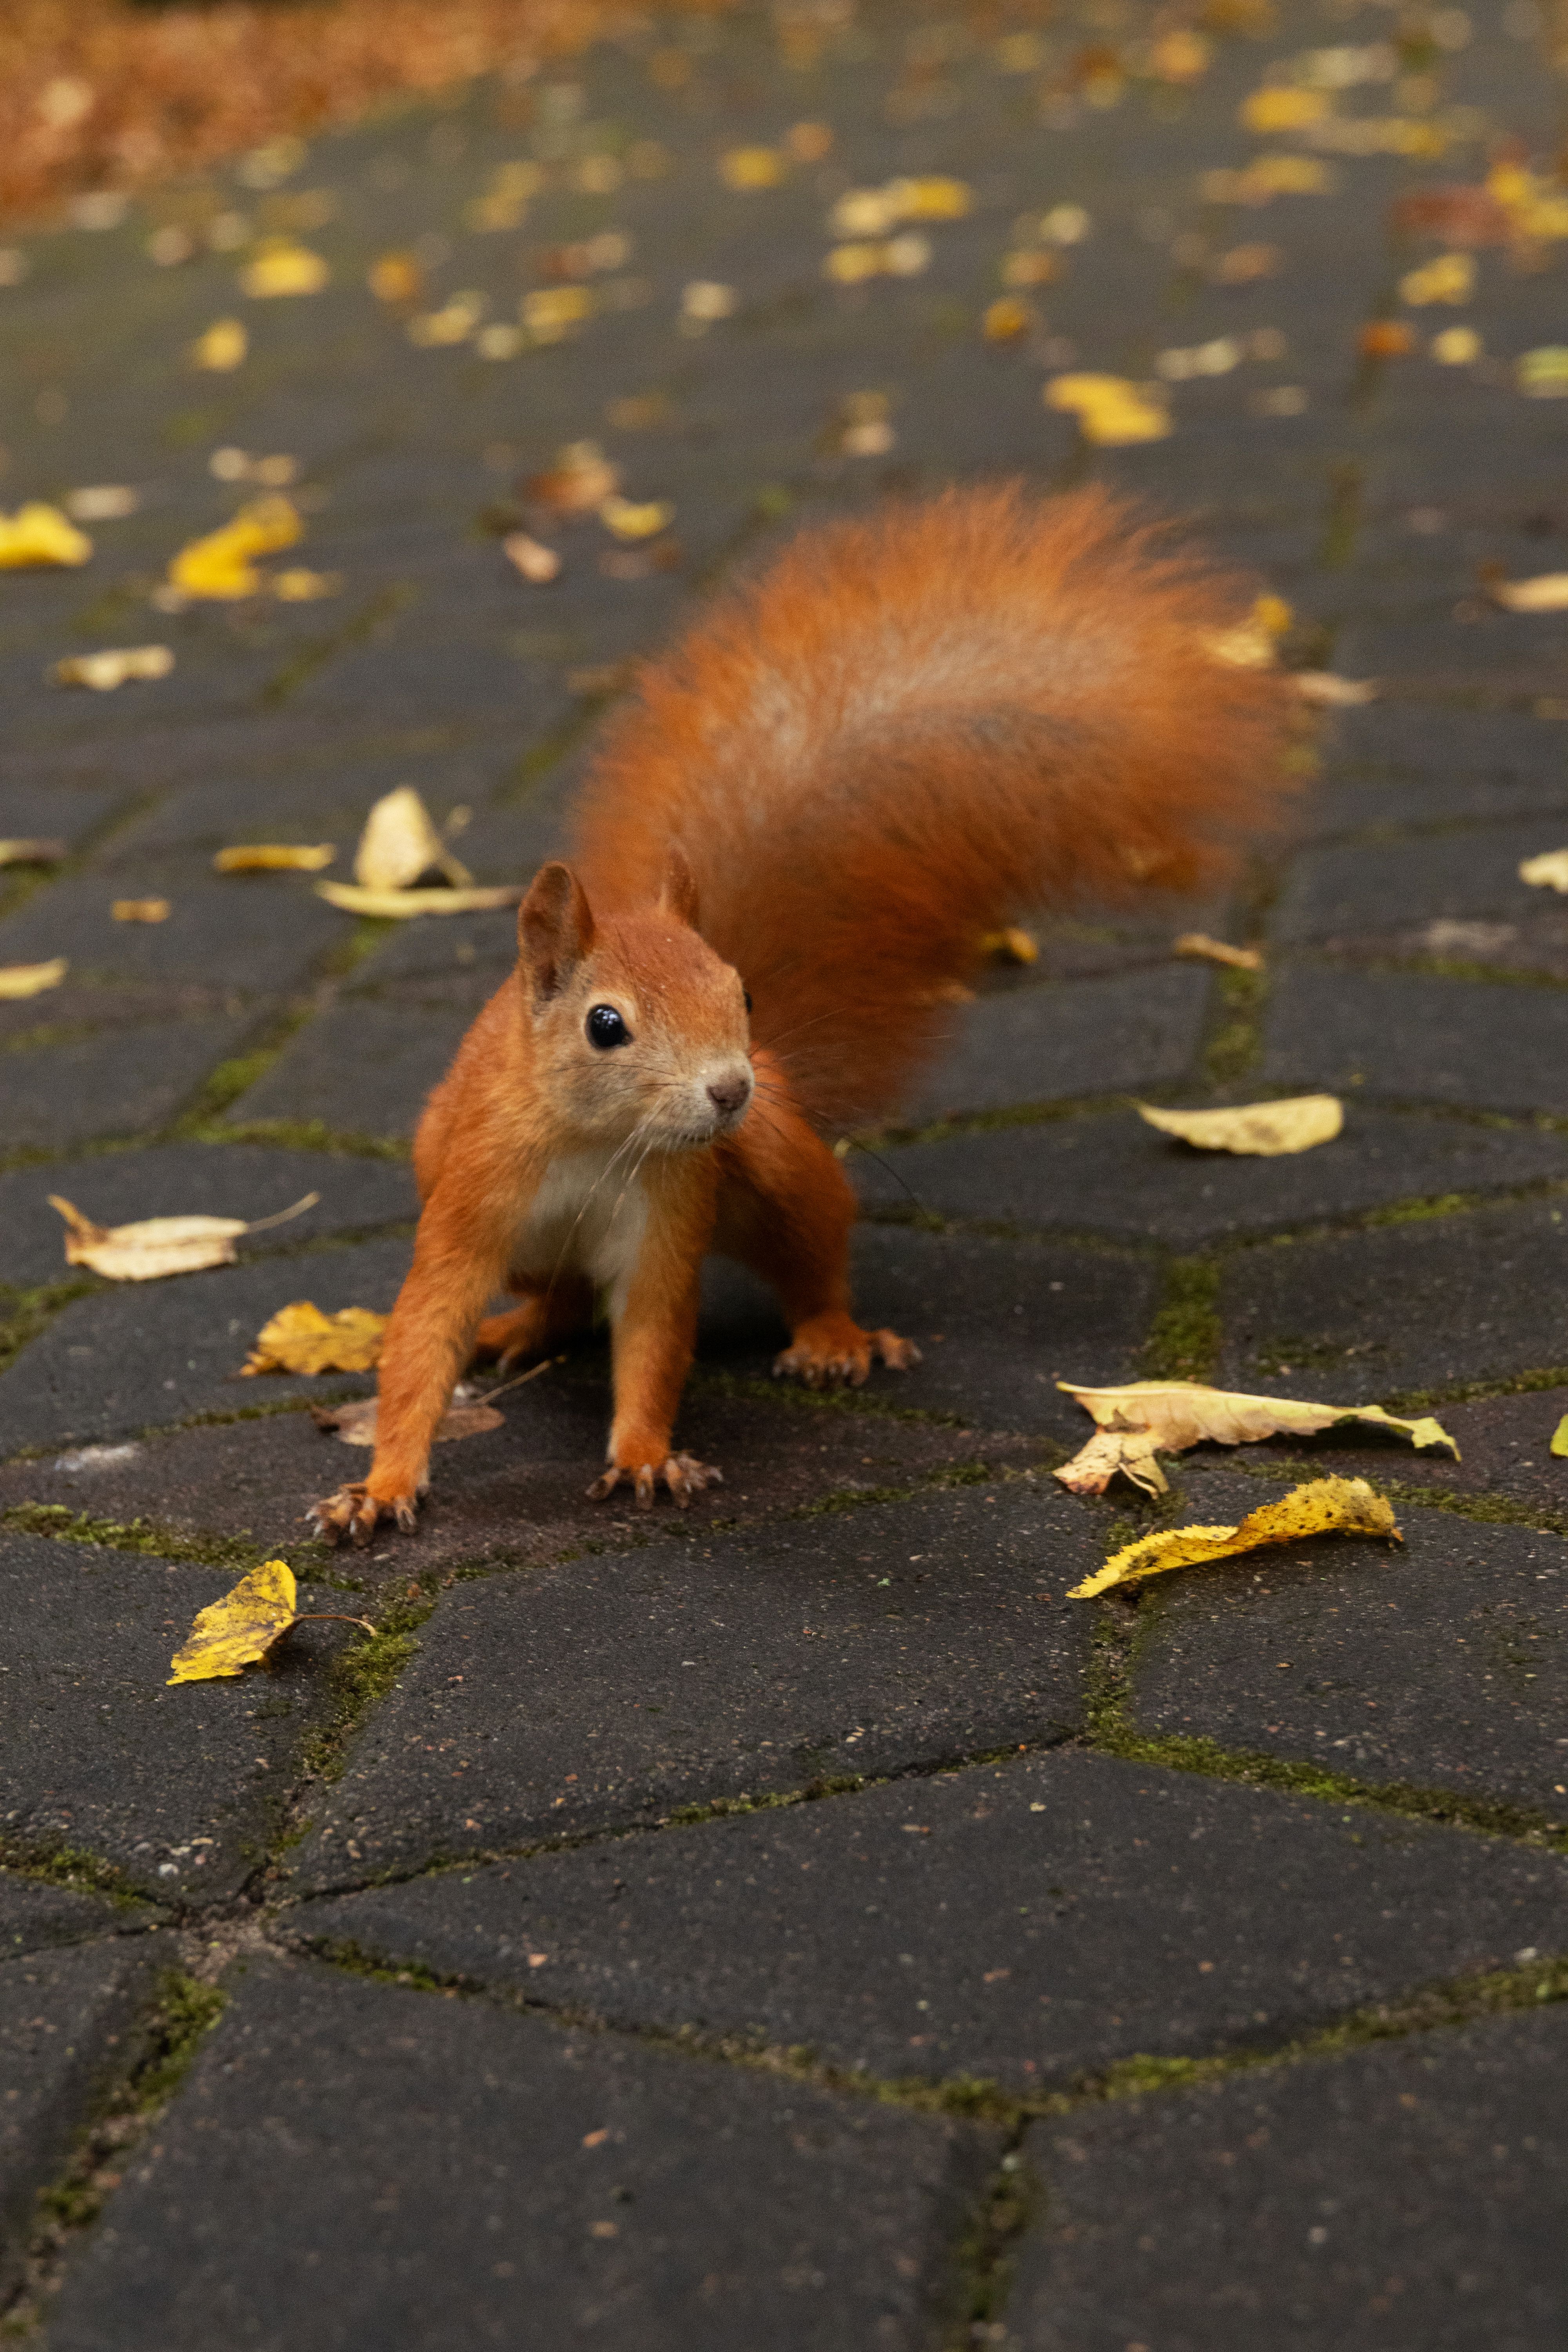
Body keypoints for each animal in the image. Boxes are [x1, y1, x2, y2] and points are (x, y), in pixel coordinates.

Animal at [310, 481, 1294, 1545]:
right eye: (605, 1025)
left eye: (741, 995)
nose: (729, 1090)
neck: (593, 1144)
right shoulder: (470, 1198)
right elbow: (422, 1339)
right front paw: (380, 1485)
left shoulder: (668, 1215)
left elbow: (654, 1339)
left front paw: (646, 1454)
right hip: (448, 1170)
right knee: (561, 1302)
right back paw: (521, 1326)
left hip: (778, 1164)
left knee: (805, 1260)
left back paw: (831, 1337)